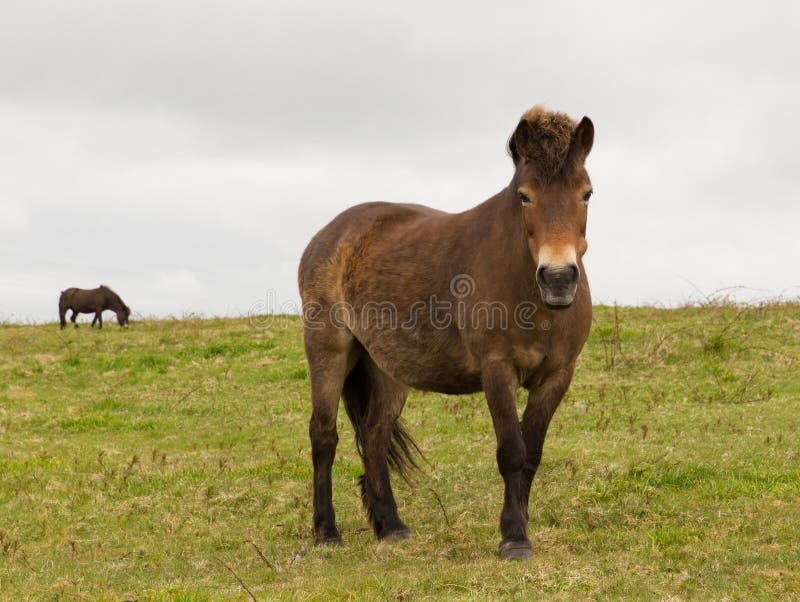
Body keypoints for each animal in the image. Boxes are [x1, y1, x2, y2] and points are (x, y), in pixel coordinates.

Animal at [298, 106, 595, 560]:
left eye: (587, 194)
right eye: (524, 196)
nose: (559, 278)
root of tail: (328, 235)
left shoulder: (557, 377)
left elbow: (532, 453)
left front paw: (522, 526)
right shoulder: (497, 370)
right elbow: (511, 451)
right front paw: (513, 537)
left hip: (387, 367)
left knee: (375, 434)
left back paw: (391, 526)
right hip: (328, 350)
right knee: (324, 436)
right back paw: (327, 532)